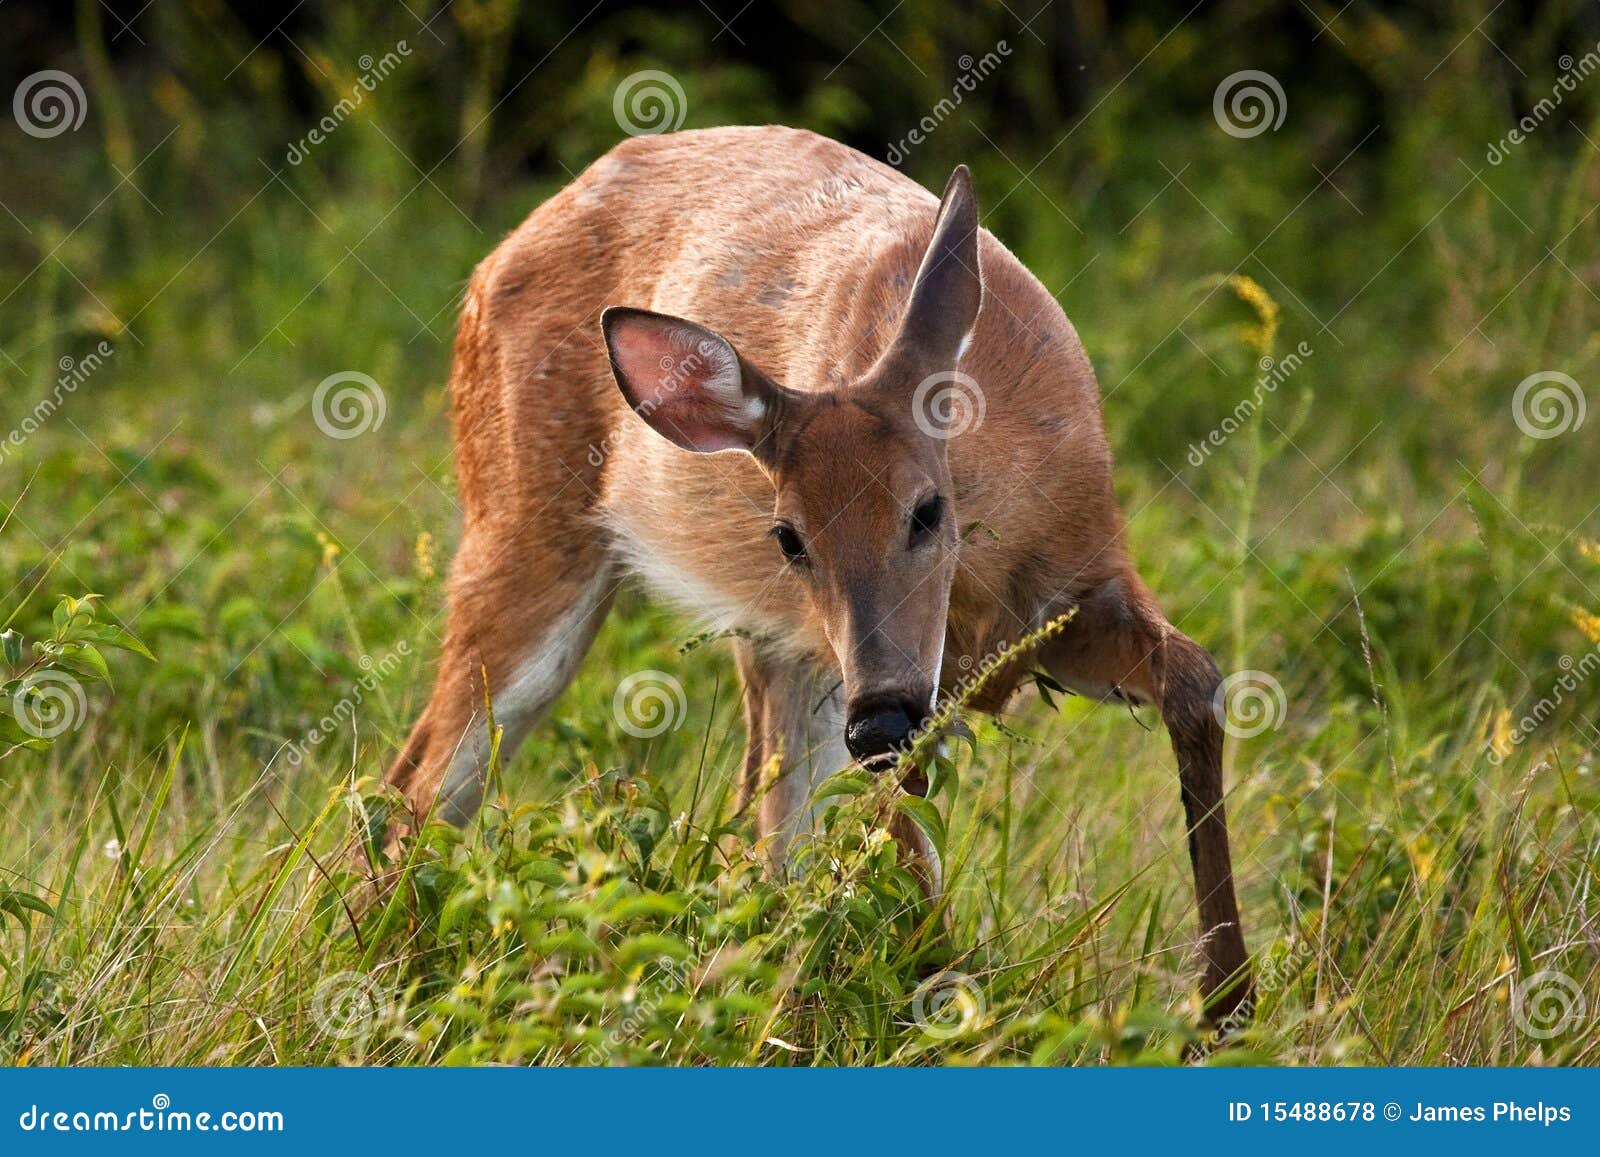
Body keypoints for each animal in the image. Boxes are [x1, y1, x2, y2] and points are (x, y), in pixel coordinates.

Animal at [384, 125, 1251, 1024]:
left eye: (927, 508)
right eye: (790, 536)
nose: (884, 716)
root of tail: (488, 269)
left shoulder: (1077, 589)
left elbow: (1198, 682)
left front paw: (1227, 1003)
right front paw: (953, 993)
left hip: (771, 649)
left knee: (770, 821)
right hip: (527, 528)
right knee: (420, 781)